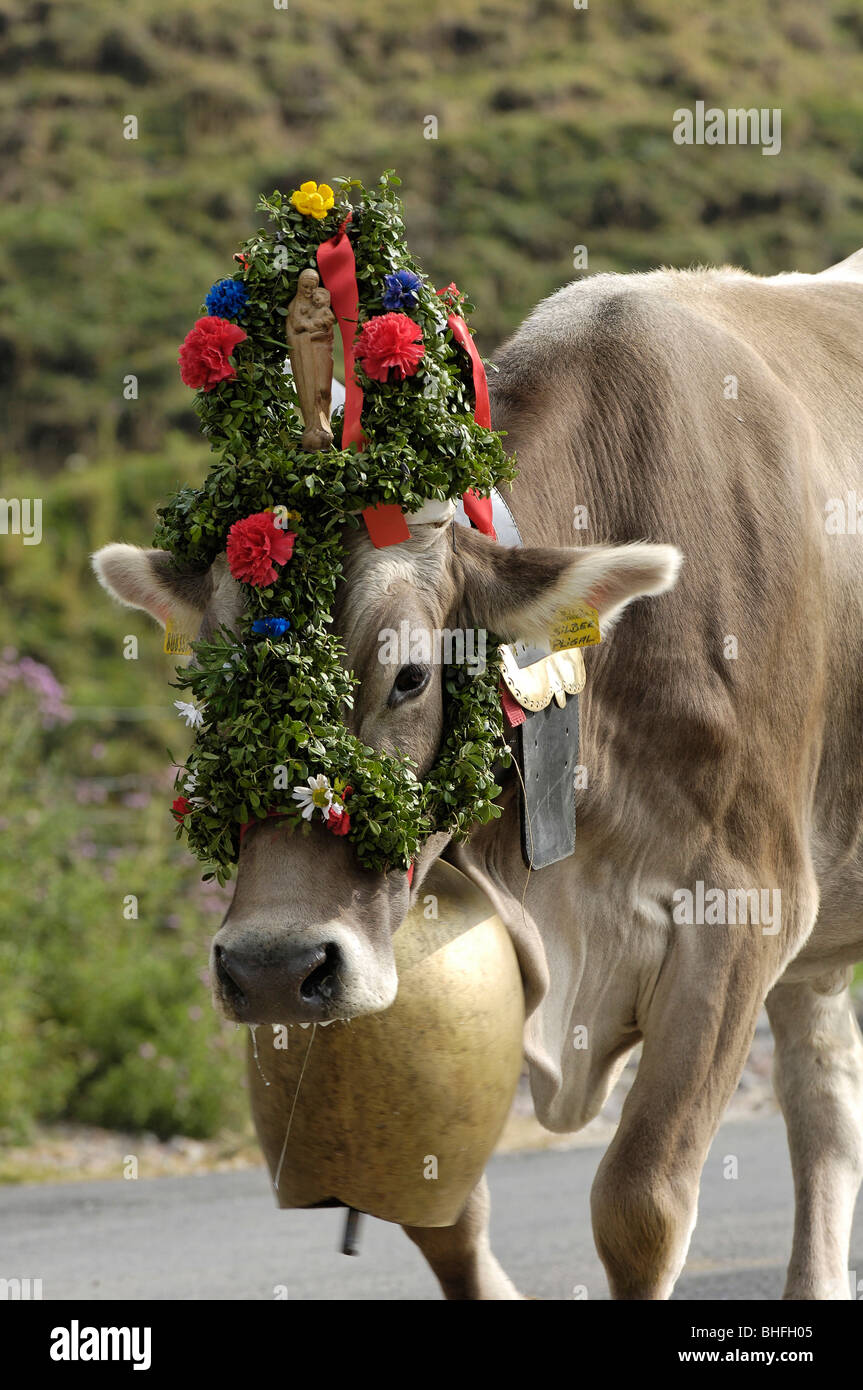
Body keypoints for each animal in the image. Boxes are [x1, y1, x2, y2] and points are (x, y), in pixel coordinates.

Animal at [94, 248, 863, 1300]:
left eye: (413, 674)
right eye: (209, 685)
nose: (270, 968)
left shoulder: (747, 904)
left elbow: (641, 1200)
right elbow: (439, 1209)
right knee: (825, 1100)